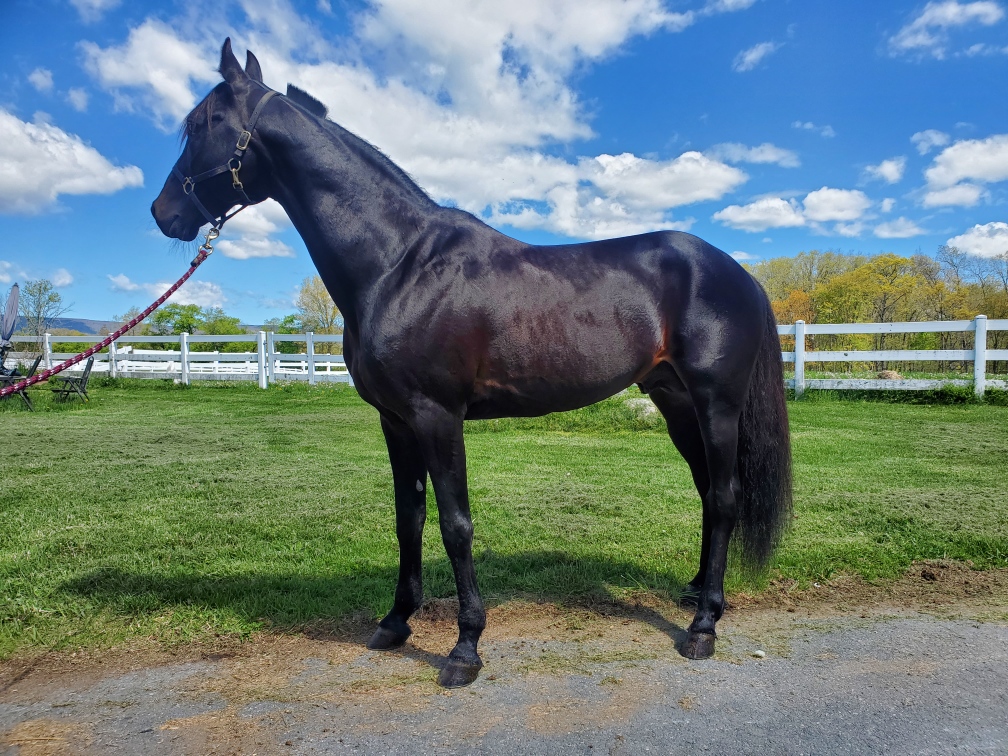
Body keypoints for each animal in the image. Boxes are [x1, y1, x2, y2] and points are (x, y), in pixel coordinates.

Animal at [152, 39, 792, 689]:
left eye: (204, 123)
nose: (162, 212)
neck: (398, 264)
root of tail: (738, 271)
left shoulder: (437, 415)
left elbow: (455, 525)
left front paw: (465, 648)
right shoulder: (395, 421)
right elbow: (409, 519)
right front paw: (395, 622)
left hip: (716, 403)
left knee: (725, 497)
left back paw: (703, 626)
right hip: (675, 401)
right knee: (707, 492)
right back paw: (694, 594)